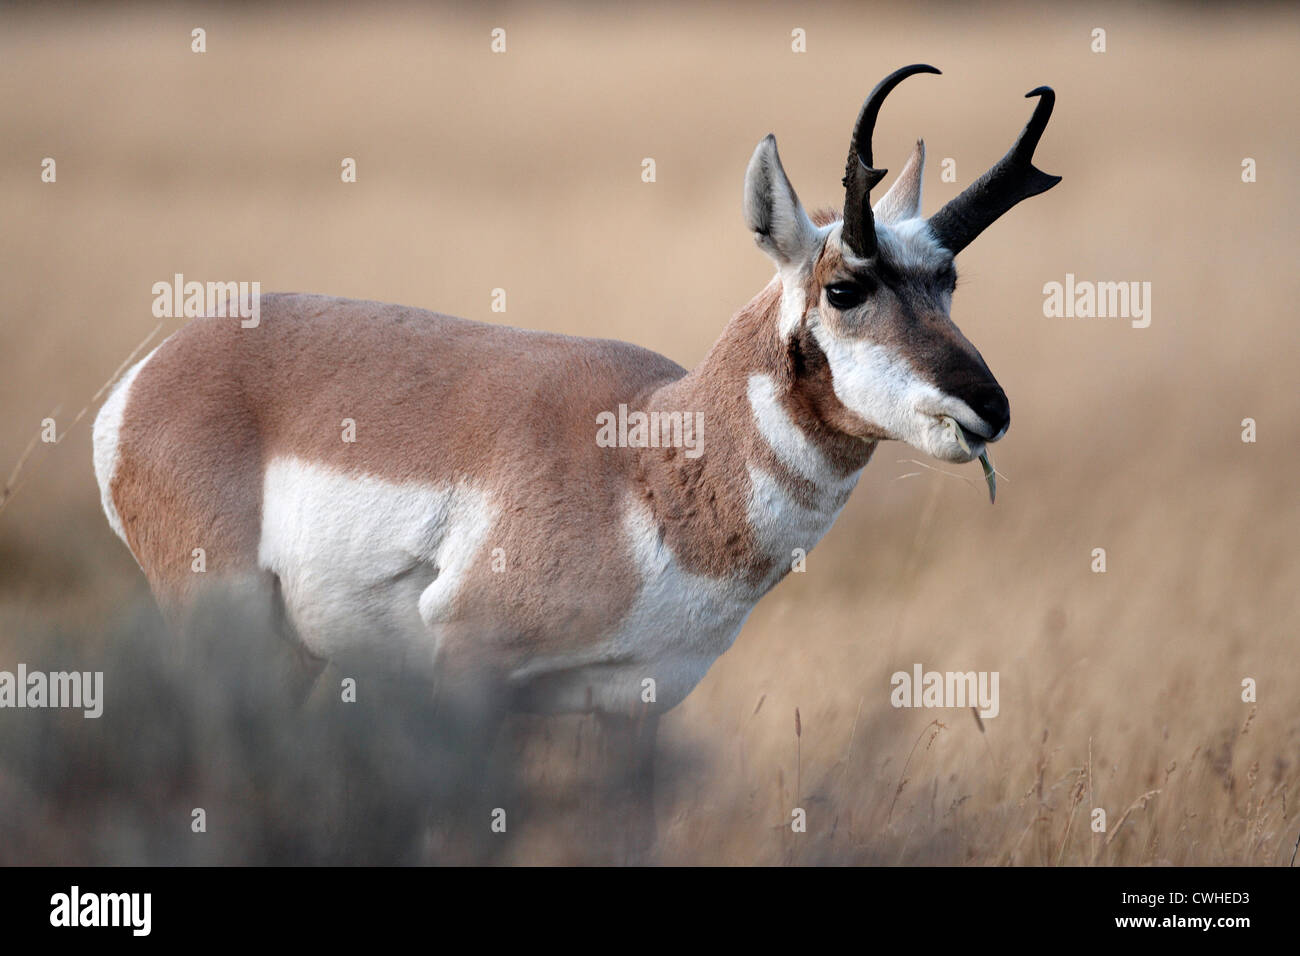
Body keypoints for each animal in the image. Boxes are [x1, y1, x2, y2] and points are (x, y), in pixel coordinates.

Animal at [92, 64, 1058, 855]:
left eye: (947, 281)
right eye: (846, 287)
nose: (991, 408)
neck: (651, 458)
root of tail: (158, 365)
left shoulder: (636, 710)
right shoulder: (469, 678)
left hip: (290, 653)